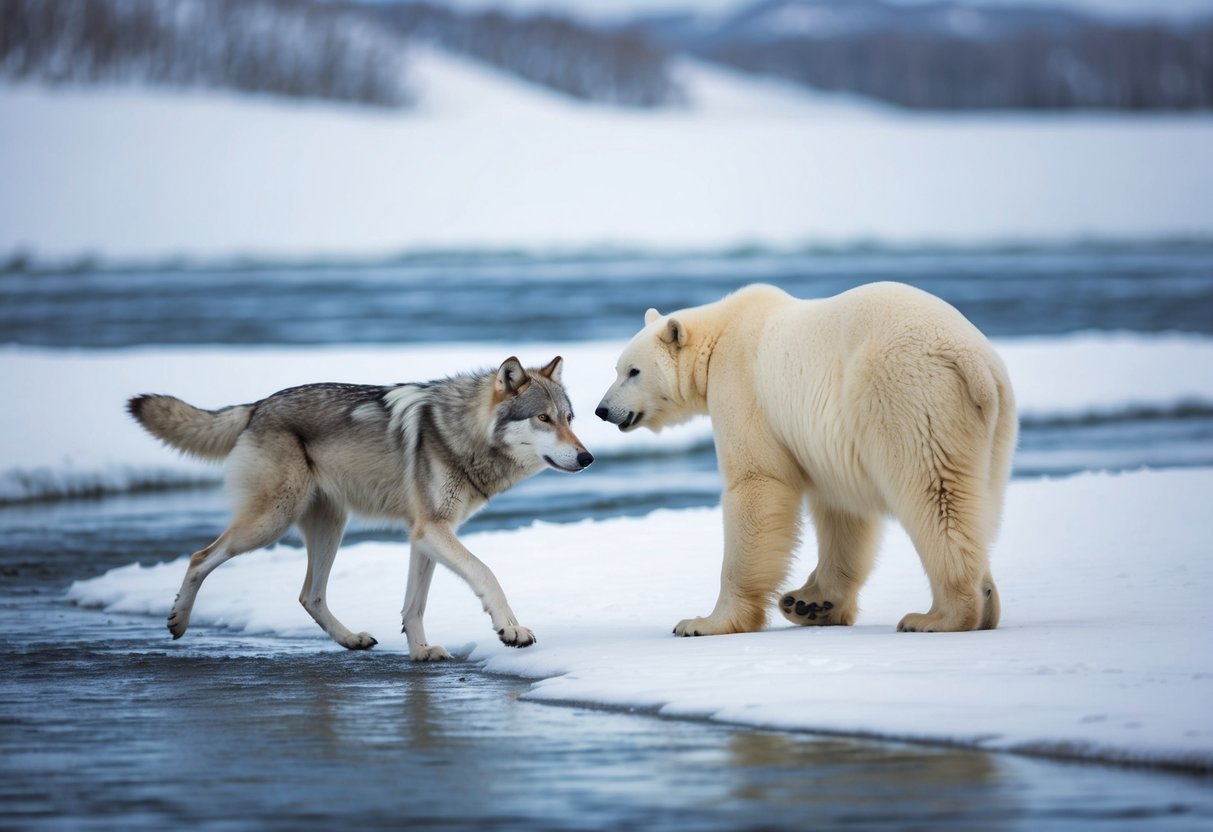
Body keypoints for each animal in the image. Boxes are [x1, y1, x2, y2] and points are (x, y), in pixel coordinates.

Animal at [128, 356, 592, 660]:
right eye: (543, 419)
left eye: (570, 418)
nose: (587, 458)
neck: (459, 433)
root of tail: (257, 406)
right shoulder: (433, 529)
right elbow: (486, 573)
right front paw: (510, 629)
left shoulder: (423, 535)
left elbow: (413, 606)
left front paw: (420, 652)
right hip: (270, 522)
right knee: (198, 557)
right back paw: (177, 621)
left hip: (330, 527)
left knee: (309, 595)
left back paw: (351, 640)